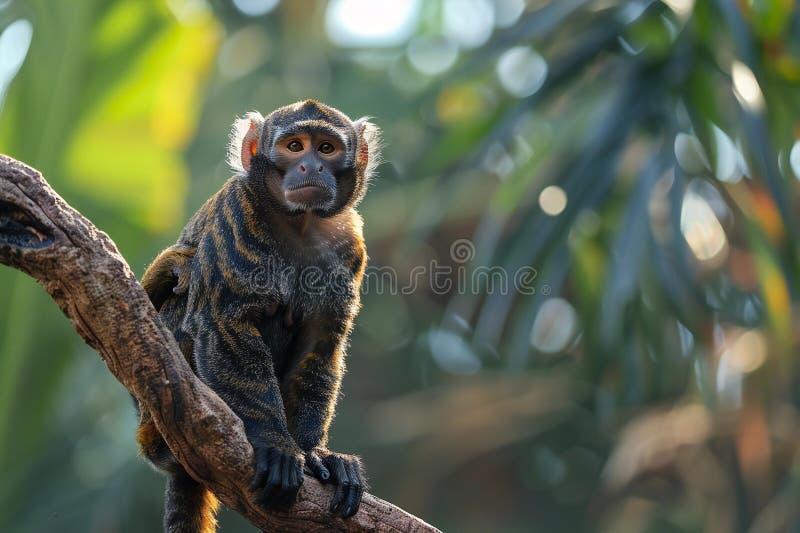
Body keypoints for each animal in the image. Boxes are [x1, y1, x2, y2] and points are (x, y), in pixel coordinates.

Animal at [134, 100, 381, 532]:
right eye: (295, 146)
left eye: (327, 148)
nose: (311, 167)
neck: (299, 223)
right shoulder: (238, 211)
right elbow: (223, 322)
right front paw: (276, 444)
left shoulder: (349, 240)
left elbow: (321, 343)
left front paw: (313, 452)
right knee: (186, 281)